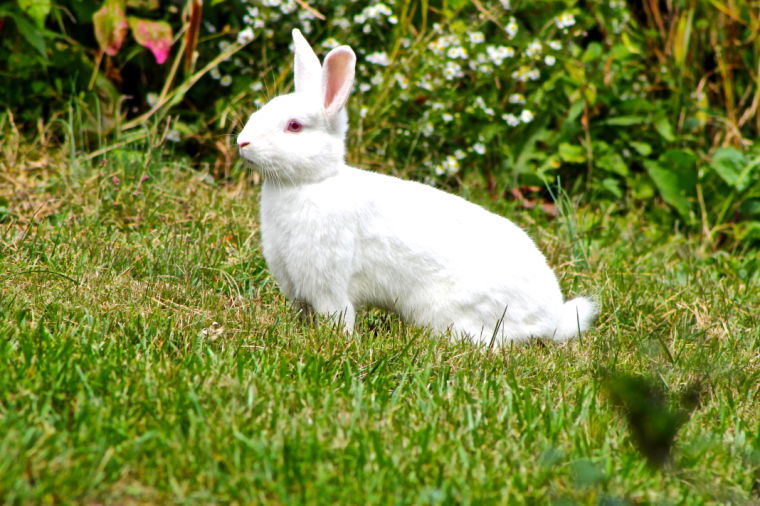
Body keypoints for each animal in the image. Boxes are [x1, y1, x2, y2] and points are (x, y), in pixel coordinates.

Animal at [237, 29, 597, 344]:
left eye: (294, 126)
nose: (242, 142)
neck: (311, 181)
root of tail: (551, 319)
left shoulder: (329, 285)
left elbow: (338, 316)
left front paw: (338, 340)